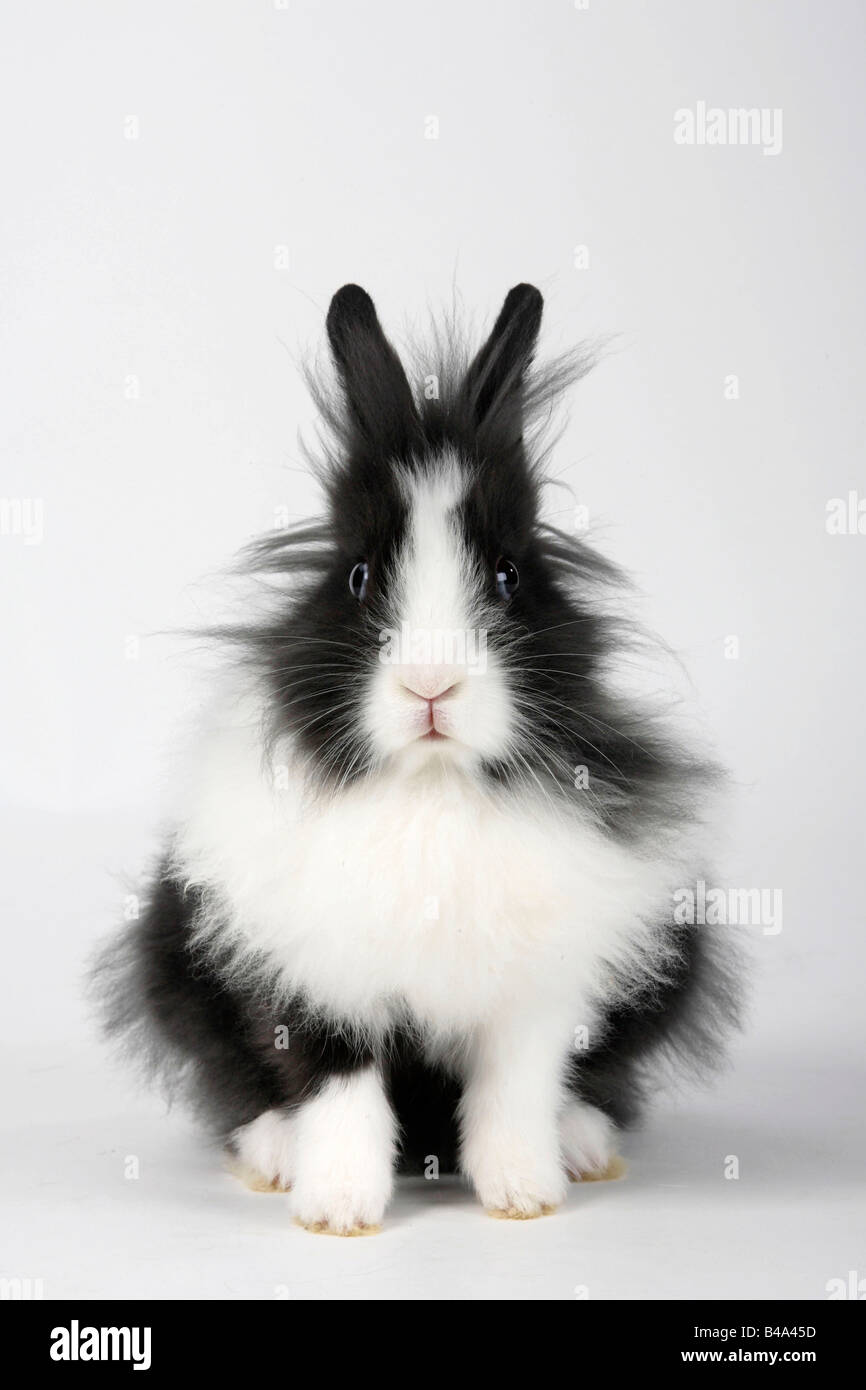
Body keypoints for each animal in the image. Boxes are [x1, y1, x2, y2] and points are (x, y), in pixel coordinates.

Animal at [93, 283, 740, 1235]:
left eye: (509, 575)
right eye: (360, 578)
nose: (431, 686)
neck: (432, 789)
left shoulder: (534, 997)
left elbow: (514, 1091)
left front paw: (522, 1196)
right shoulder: (317, 981)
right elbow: (340, 1092)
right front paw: (337, 1213)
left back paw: (583, 1147)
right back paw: (274, 1156)